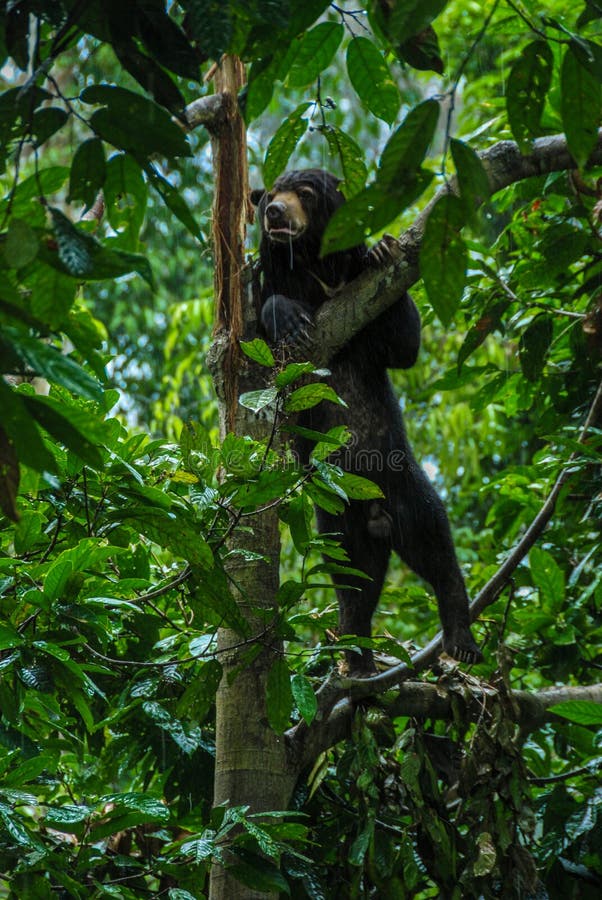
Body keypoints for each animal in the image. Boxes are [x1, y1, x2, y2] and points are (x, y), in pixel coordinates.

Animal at [251, 168, 482, 672]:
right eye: (271, 194)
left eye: (305, 193)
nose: (274, 212)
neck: (316, 266)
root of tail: (376, 517)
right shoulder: (265, 284)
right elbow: (260, 345)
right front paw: (290, 318)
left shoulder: (367, 323)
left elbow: (403, 344)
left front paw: (380, 251)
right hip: (336, 519)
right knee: (351, 577)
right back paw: (355, 653)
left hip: (403, 481)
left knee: (435, 540)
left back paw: (460, 639)